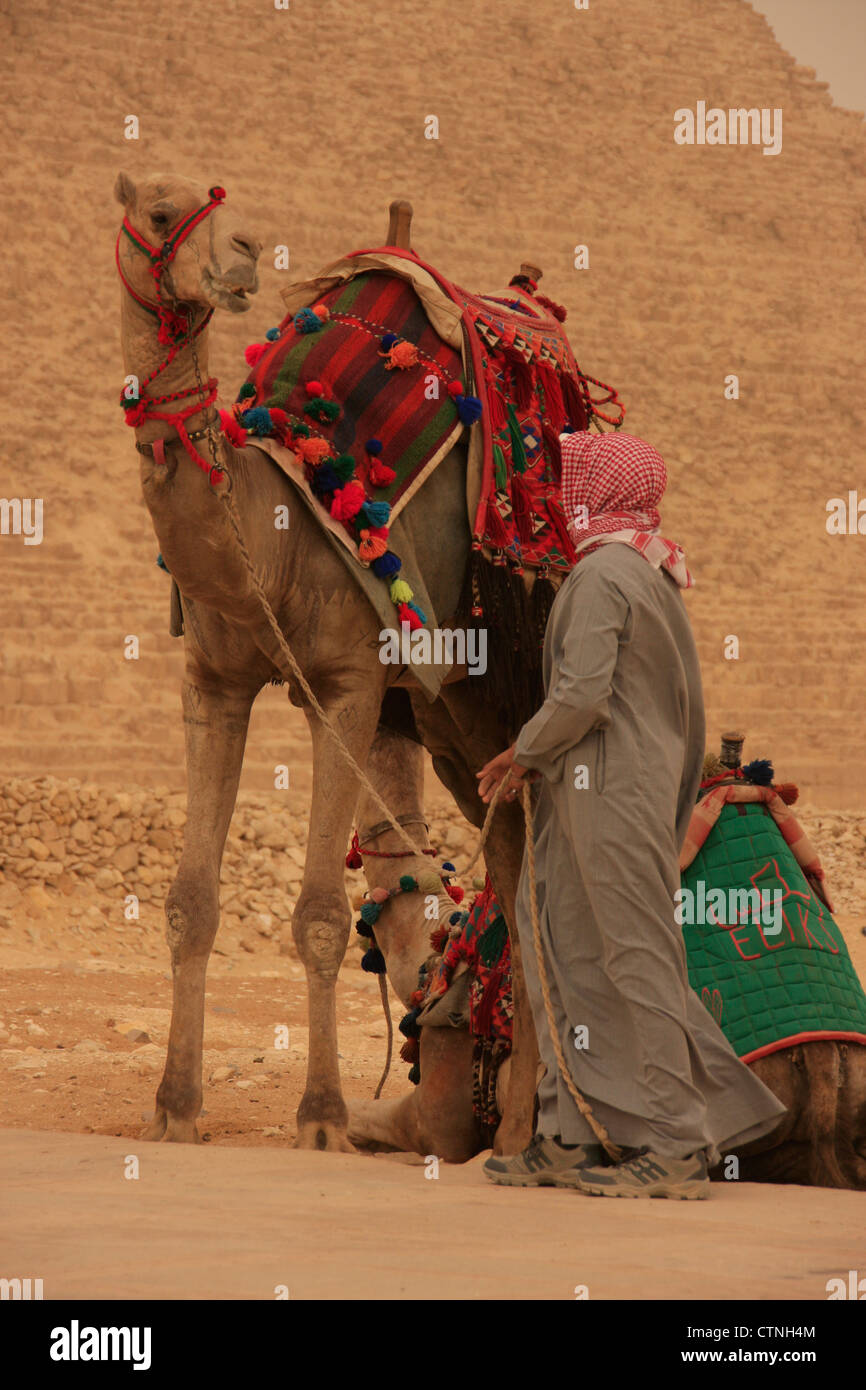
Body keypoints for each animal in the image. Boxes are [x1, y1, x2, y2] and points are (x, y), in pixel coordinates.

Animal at [115, 170, 537, 1151]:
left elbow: (316, 915)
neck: (269, 538)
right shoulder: (216, 684)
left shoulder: (343, 685)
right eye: (159, 210)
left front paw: (322, 1117)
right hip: (437, 713)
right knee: (475, 849)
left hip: (511, 663)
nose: (240, 253)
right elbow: (189, 902)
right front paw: (174, 1106)